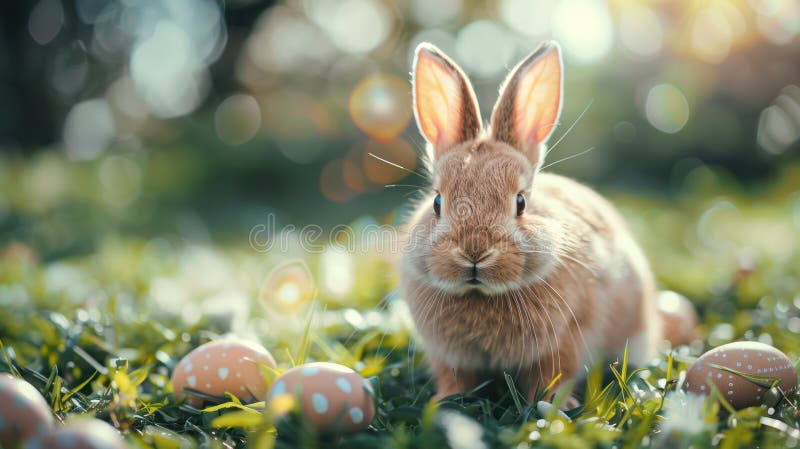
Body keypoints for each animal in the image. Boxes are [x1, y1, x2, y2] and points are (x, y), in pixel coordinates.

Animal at [400, 41, 697, 403]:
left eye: (521, 202)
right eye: (437, 202)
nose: (474, 252)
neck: (482, 295)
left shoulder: (567, 335)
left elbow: (554, 372)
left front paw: (557, 402)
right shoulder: (449, 356)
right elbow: (455, 377)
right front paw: (445, 399)